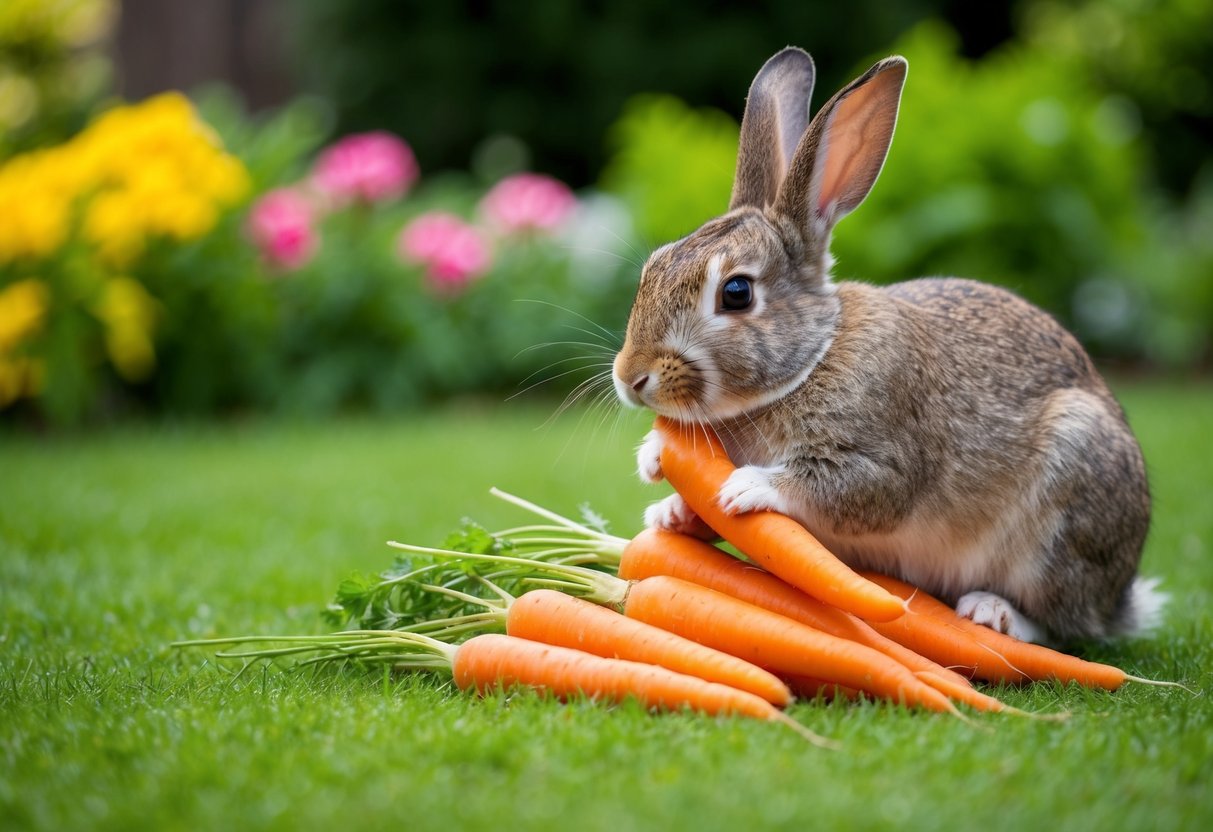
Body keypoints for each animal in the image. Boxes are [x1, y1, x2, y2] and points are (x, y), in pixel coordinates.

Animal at [611, 47, 1164, 644]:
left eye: (736, 293)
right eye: (653, 265)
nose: (631, 377)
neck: (812, 359)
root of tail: (1120, 598)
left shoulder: (883, 459)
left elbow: (850, 489)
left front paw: (745, 487)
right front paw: (667, 503)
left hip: (1069, 495)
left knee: (1064, 624)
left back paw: (992, 613)